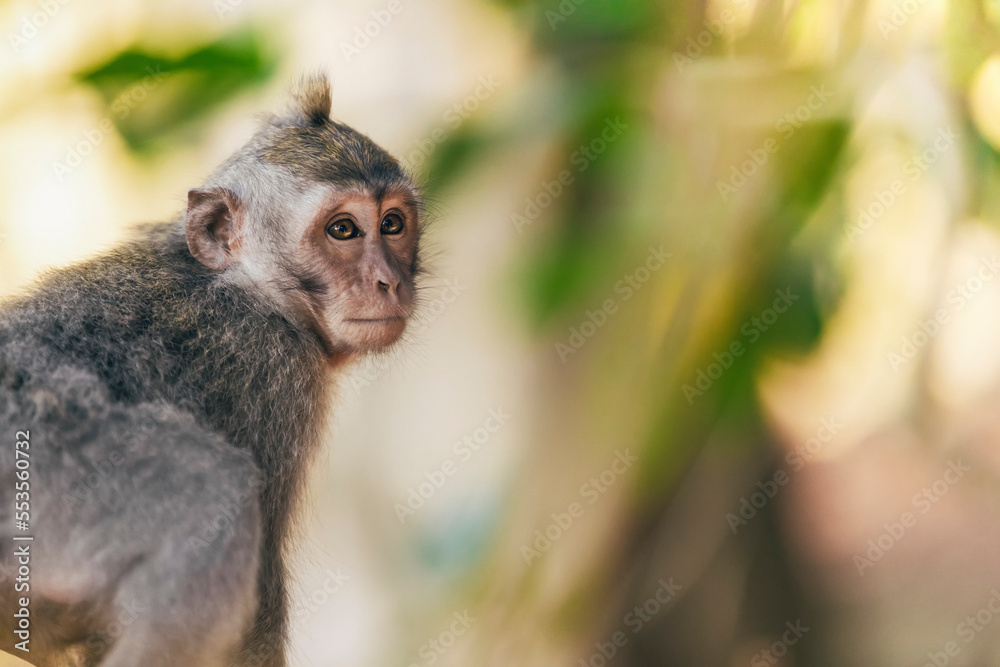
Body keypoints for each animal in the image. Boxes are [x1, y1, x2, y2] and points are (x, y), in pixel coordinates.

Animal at [0, 74, 422, 667]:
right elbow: (259, 601)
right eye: (343, 230)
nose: (390, 281)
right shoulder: (274, 370)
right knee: (213, 491)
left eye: (392, 224)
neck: (250, 287)